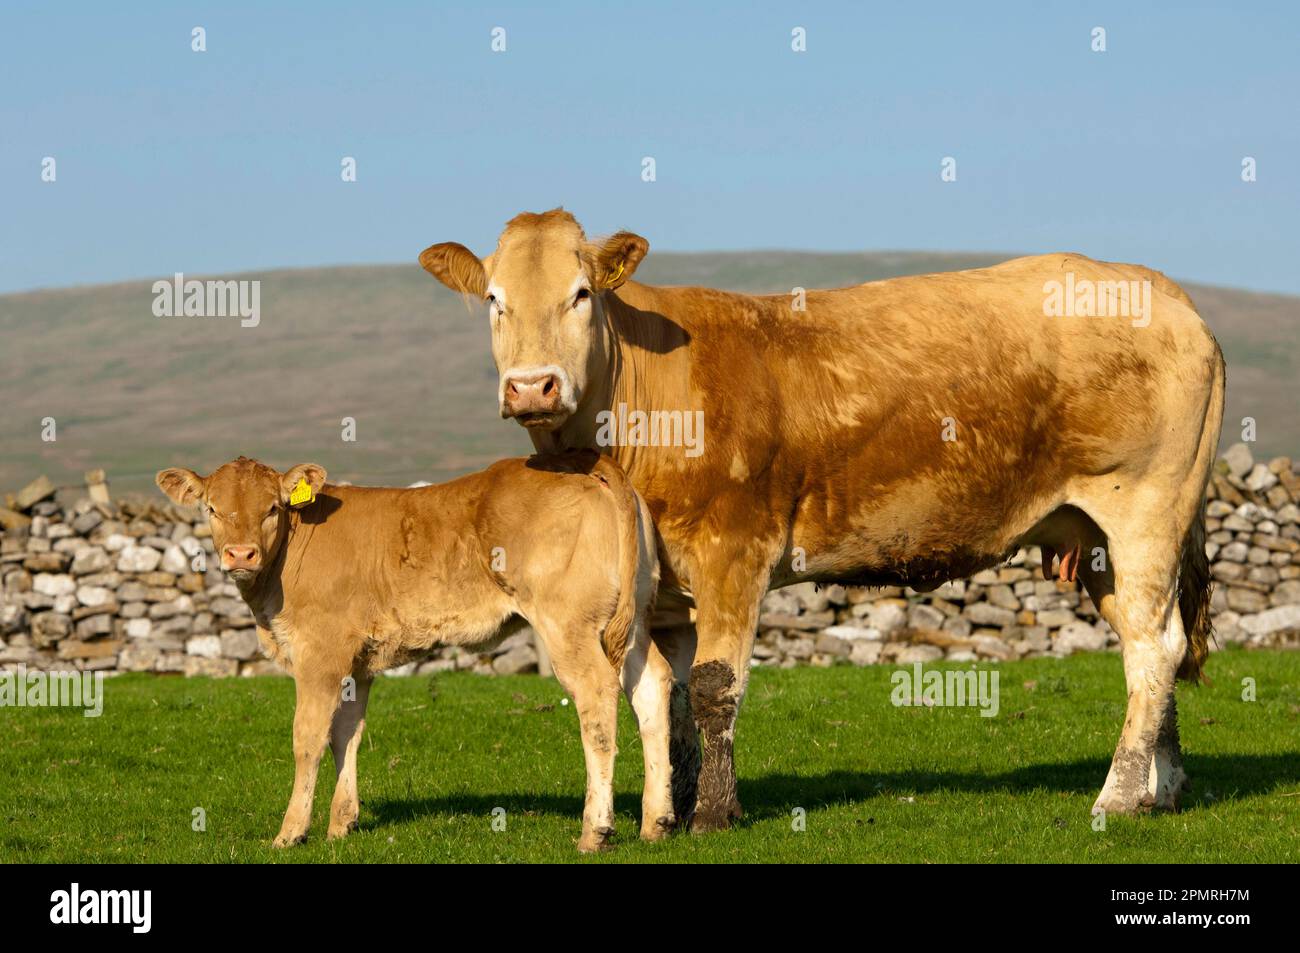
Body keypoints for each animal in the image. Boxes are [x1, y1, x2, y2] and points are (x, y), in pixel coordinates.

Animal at [155, 451, 665, 852]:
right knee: (652, 688)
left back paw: (595, 831)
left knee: (596, 698)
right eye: (212, 507)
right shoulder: (358, 663)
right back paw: (656, 822)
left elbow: (309, 738)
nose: (240, 555)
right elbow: (347, 735)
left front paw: (291, 832)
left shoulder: (321, 653)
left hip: (568, 625)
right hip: (635, 619)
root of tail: (586, 464)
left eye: (273, 509)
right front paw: (342, 824)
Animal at [419, 209, 1226, 831]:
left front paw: (715, 811)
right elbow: (669, 697)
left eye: (581, 294)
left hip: (1145, 509)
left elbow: (713, 686)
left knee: (1154, 646)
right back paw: (1162, 787)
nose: (531, 387)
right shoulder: (666, 589)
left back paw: (1119, 795)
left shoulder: (733, 550)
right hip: (1096, 537)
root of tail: (1159, 288)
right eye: (493, 299)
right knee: (1147, 643)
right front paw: (674, 802)